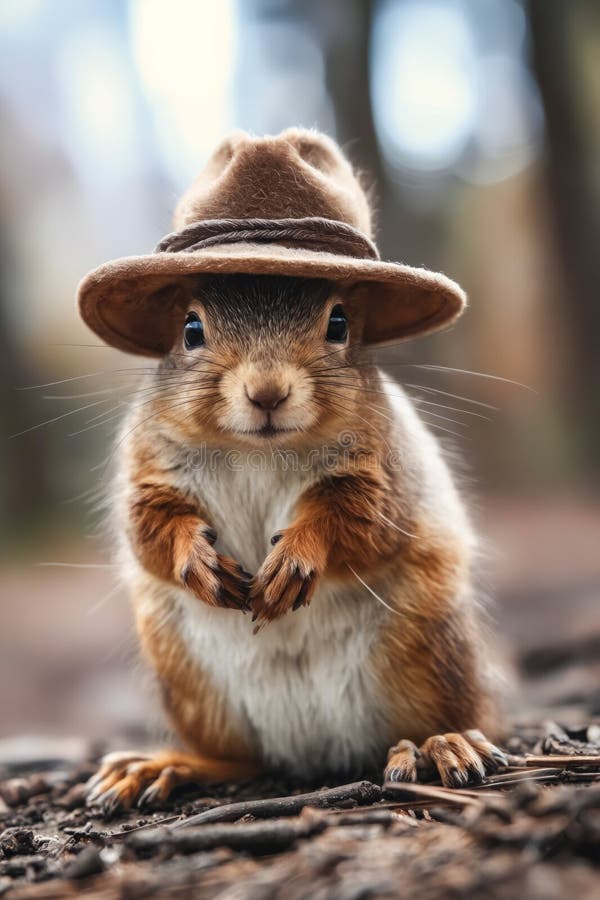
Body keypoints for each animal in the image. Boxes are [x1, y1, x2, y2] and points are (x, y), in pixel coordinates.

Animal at [79, 130, 506, 813]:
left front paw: (295, 559)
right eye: (190, 329)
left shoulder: (382, 471)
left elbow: (359, 520)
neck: (259, 451)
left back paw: (441, 744)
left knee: (456, 717)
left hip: (428, 655)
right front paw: (194, 559)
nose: (267, 392)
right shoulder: (147, 470)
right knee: (237, 759)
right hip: (193, 686)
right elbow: (149, 528)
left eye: (339, 323)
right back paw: (161, 765)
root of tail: (313, 756)